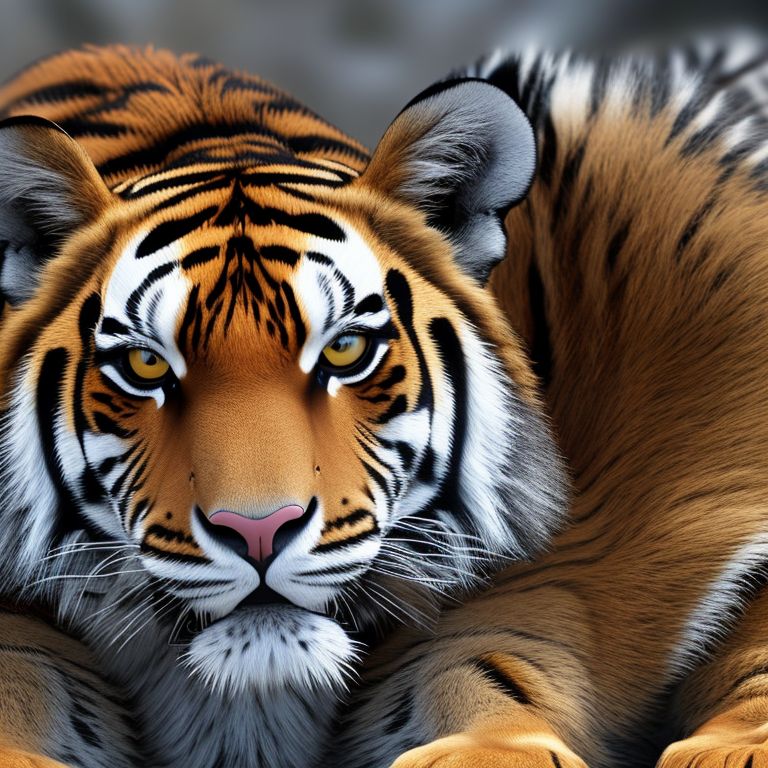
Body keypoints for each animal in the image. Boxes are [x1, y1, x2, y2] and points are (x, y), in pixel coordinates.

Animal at [0, 36, 765, 768]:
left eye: (344, 350)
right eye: (145, 363)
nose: (258, 532)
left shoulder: (508, 591)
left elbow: (487, 661)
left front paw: (490, 753)